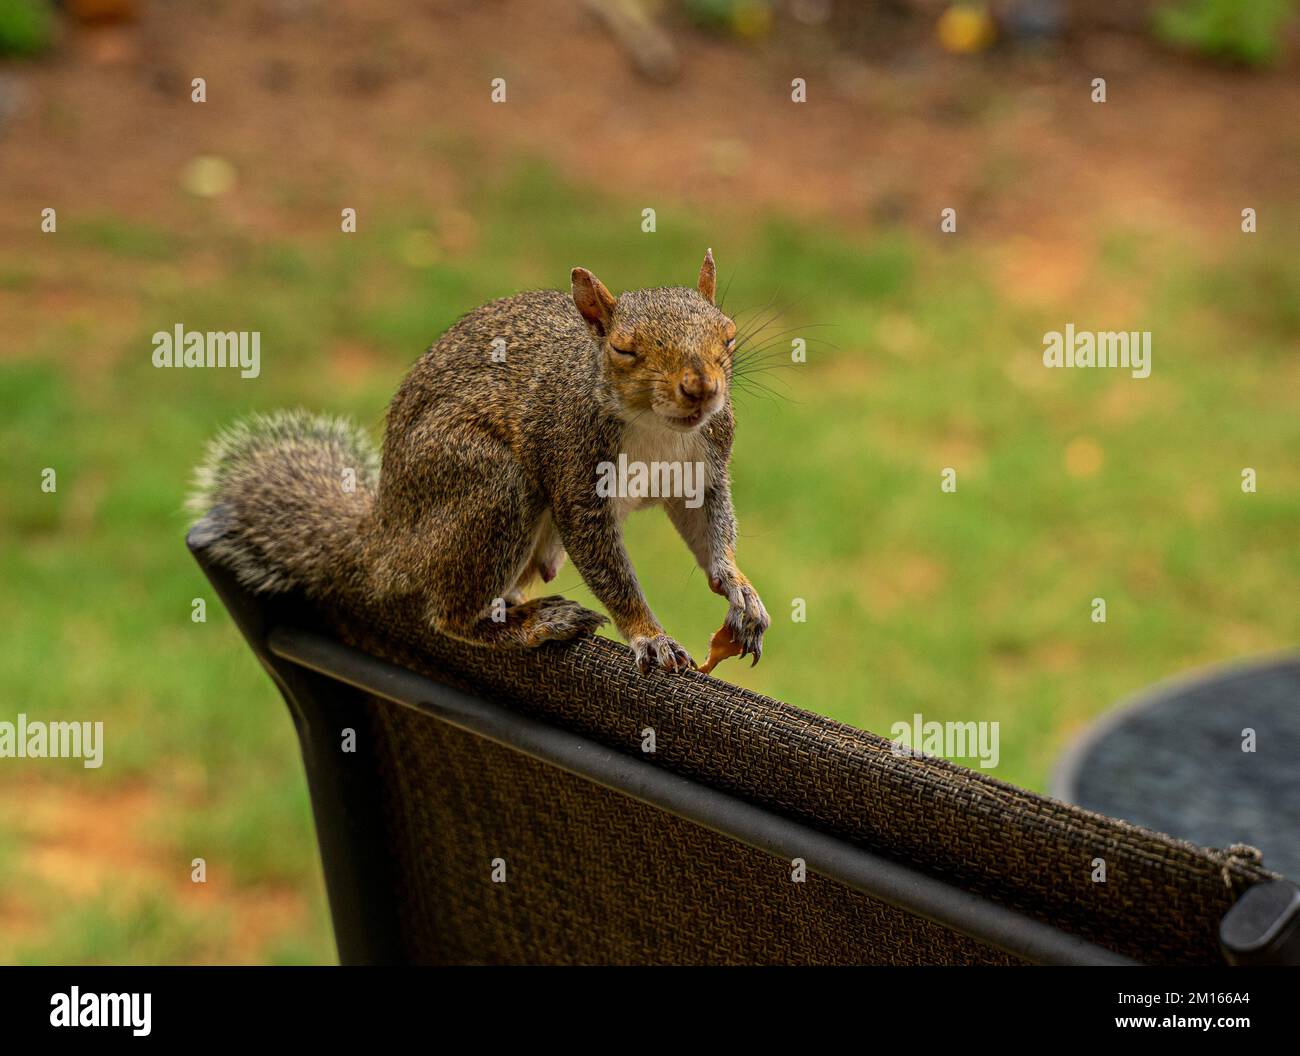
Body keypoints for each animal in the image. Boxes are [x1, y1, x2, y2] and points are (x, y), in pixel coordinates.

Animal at [188, 249, 769, 675]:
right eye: (625, 351)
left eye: (728, 335)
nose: (701, 388)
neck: (658, 429)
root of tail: (384, 539)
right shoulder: (576, 469)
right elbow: (606, 568)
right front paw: (648, 635)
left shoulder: (702, 466)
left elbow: (710, 528)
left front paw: (738, 588)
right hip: (490, 486)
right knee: (449, 616)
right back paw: (531, 624)